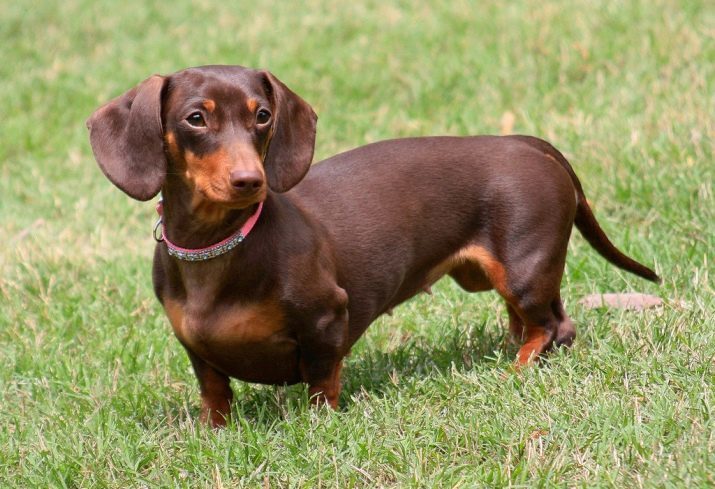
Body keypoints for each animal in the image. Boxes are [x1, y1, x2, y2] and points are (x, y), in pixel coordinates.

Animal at [86, 66, 656, 428]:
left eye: (263, 115)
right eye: (195, 118)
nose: (251, 181)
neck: (220, 247)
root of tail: (526, 142)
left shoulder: (325, 319)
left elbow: (322, 381)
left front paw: (319, 425)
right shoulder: (195, 347)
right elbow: (214, 391)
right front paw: (213, 432)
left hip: (525, 270)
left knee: (554, 326)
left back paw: (514, 371)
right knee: (532, 324)